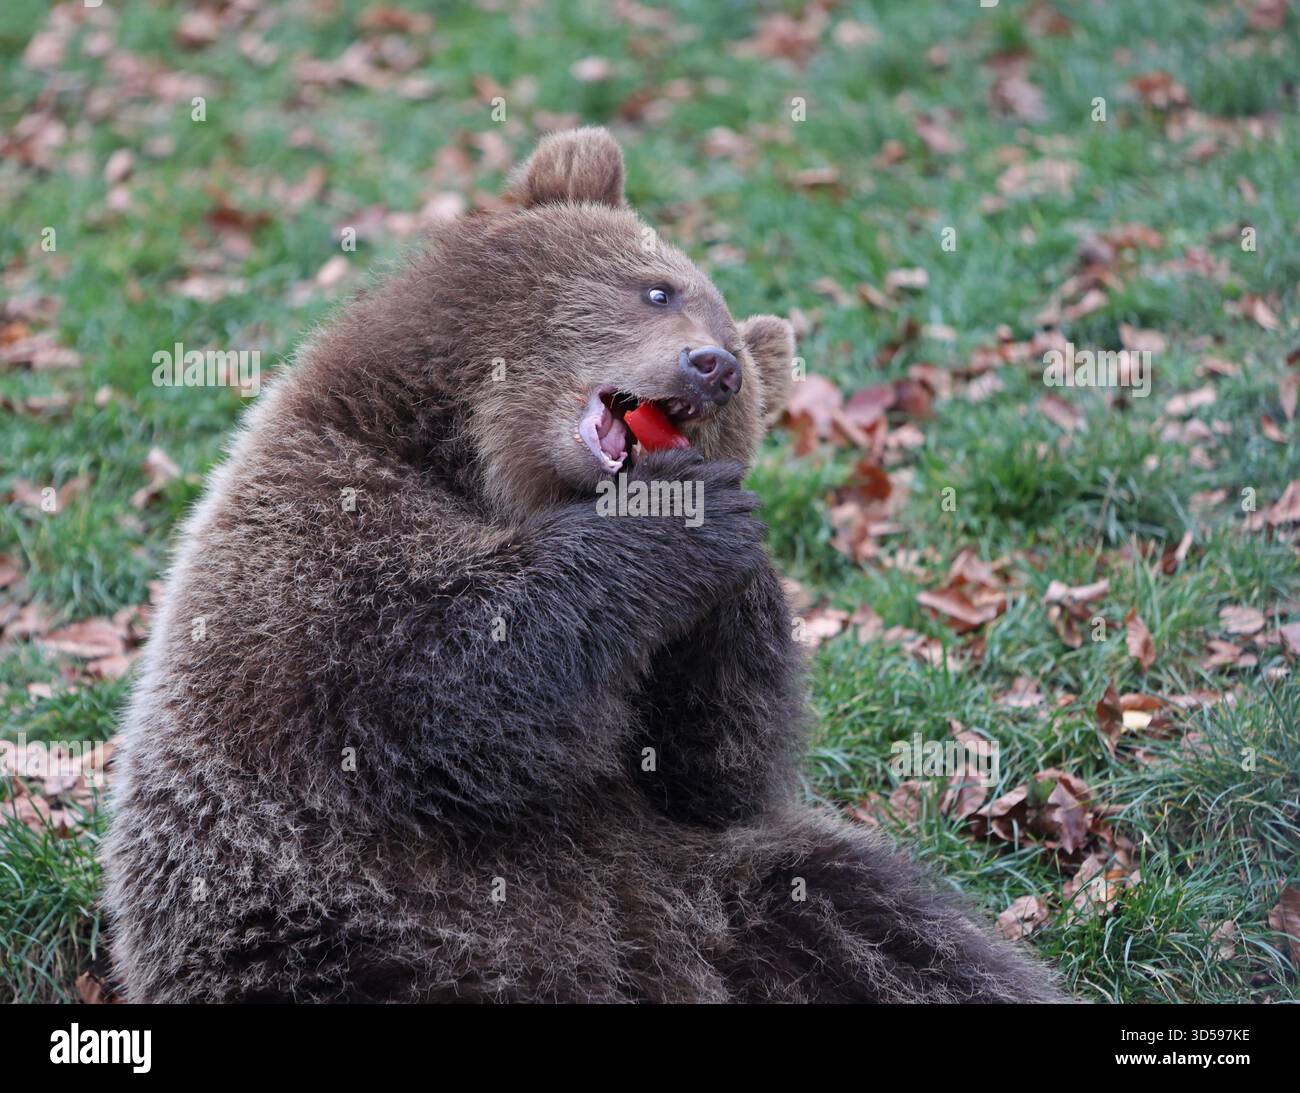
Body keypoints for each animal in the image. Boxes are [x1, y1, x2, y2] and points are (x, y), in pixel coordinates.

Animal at [102, 128, 1065, 1003]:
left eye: (740, 362)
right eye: (657, 289)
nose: (713, 365)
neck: (494, 476)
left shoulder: (675, 782)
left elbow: (711, 770)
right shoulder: (317, 528)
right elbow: (431, 685)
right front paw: (680, 516)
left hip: (715, 901)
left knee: (880, 925)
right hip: (342, 936)